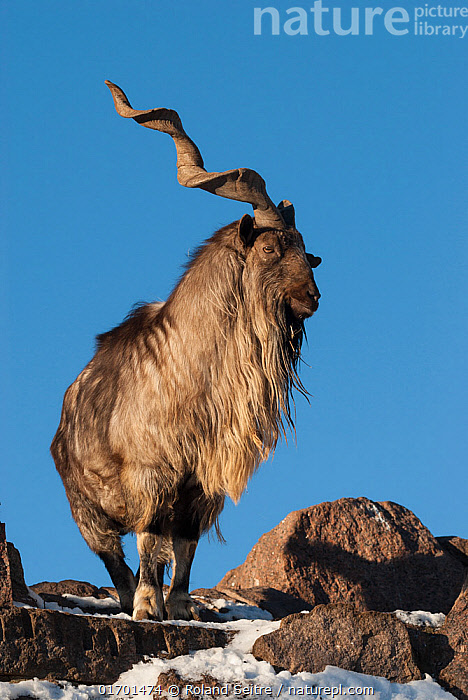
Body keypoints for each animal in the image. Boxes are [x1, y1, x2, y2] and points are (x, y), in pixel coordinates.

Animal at [51, 82, 321, 621]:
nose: (313, 297)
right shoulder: (151, 476)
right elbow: (150, 539)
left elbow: (185, 546)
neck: (193, 376)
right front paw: (148, 608)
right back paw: (131, 599)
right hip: (86, 511)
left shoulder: (198, 490)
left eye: (308, 251)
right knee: (115, 561)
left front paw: (179, 606)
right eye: (268, 249)